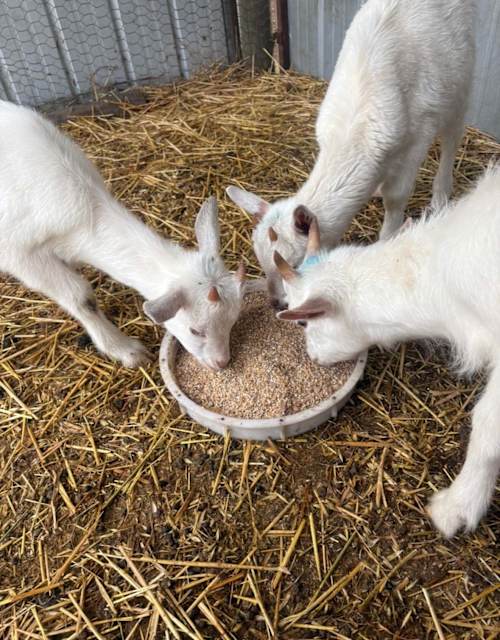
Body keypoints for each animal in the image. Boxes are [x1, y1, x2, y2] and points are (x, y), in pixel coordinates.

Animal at [0, 101, 245, 370]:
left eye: (234, 319)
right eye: (195, 330)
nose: (221, 362)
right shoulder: (20, 255)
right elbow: (81, 297)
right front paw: (126, 350)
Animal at [227, 0, 475, 308]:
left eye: (294, 263)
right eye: (260, 261)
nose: (276, 303)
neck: (353, 135)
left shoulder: (419, 134)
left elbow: (397, 197)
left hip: (461, 75)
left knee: (453, 133)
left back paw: (441, 197)